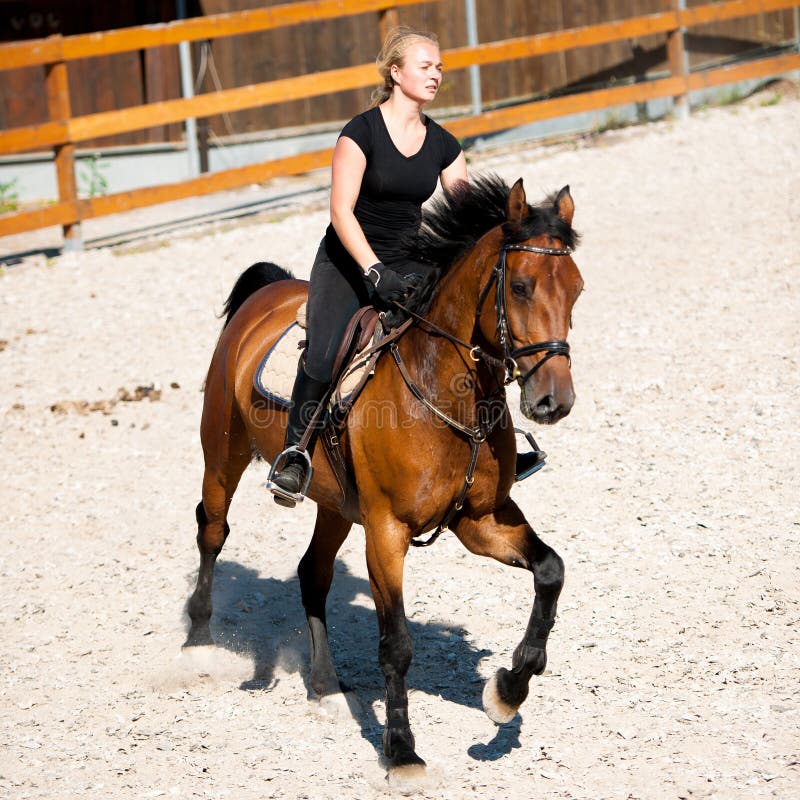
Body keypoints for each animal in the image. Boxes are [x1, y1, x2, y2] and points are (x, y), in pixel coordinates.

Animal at [185, 174, 583, 772]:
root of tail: (267, 293)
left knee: (312, 572)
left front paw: (509, 690)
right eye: (520, 287)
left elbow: (551, 570)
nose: (553, 402)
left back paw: (325, 684)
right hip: (223, 454)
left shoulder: (481, 520)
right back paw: (199, 643)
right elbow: (396, 643)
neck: (446, 391)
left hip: (334, 503)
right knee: (212, 530)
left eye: (577, 289)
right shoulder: (387, 530)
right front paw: (402, 753)